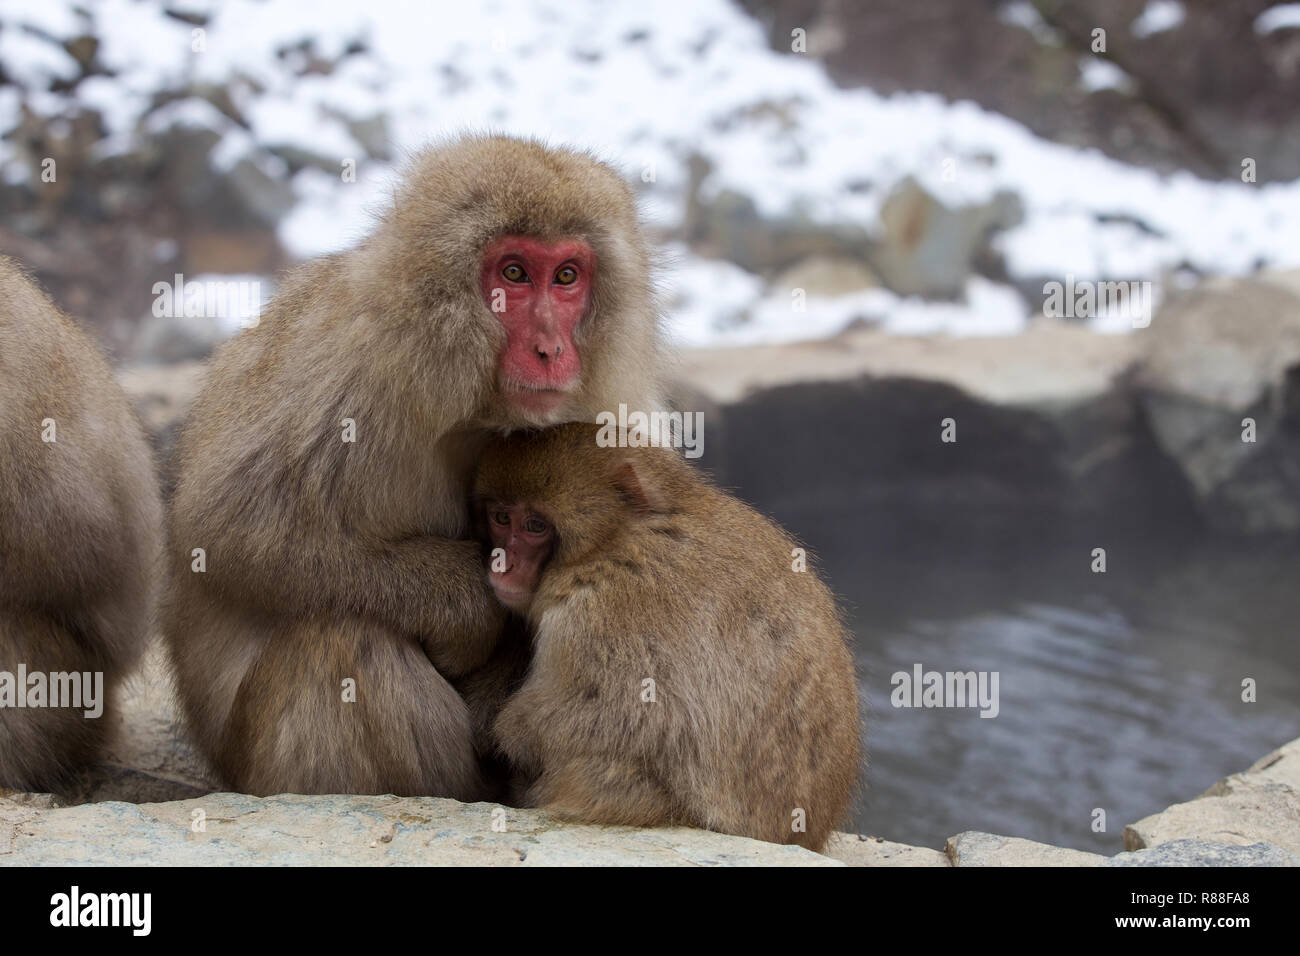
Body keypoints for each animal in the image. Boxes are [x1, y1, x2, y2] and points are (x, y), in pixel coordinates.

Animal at [162, 135, 666, 798]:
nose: (551, 350)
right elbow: (232, 533)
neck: (477, 402)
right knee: (342, 641)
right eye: (512, 273)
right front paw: (465, 605)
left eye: (566, 277)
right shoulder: (344, 365)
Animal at [472, 423, 862, 850]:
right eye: (501, 517)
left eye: (535, 526)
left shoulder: (602, 611)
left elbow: (626, 717)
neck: (614, 539)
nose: (503, 565)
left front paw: (512, 734)